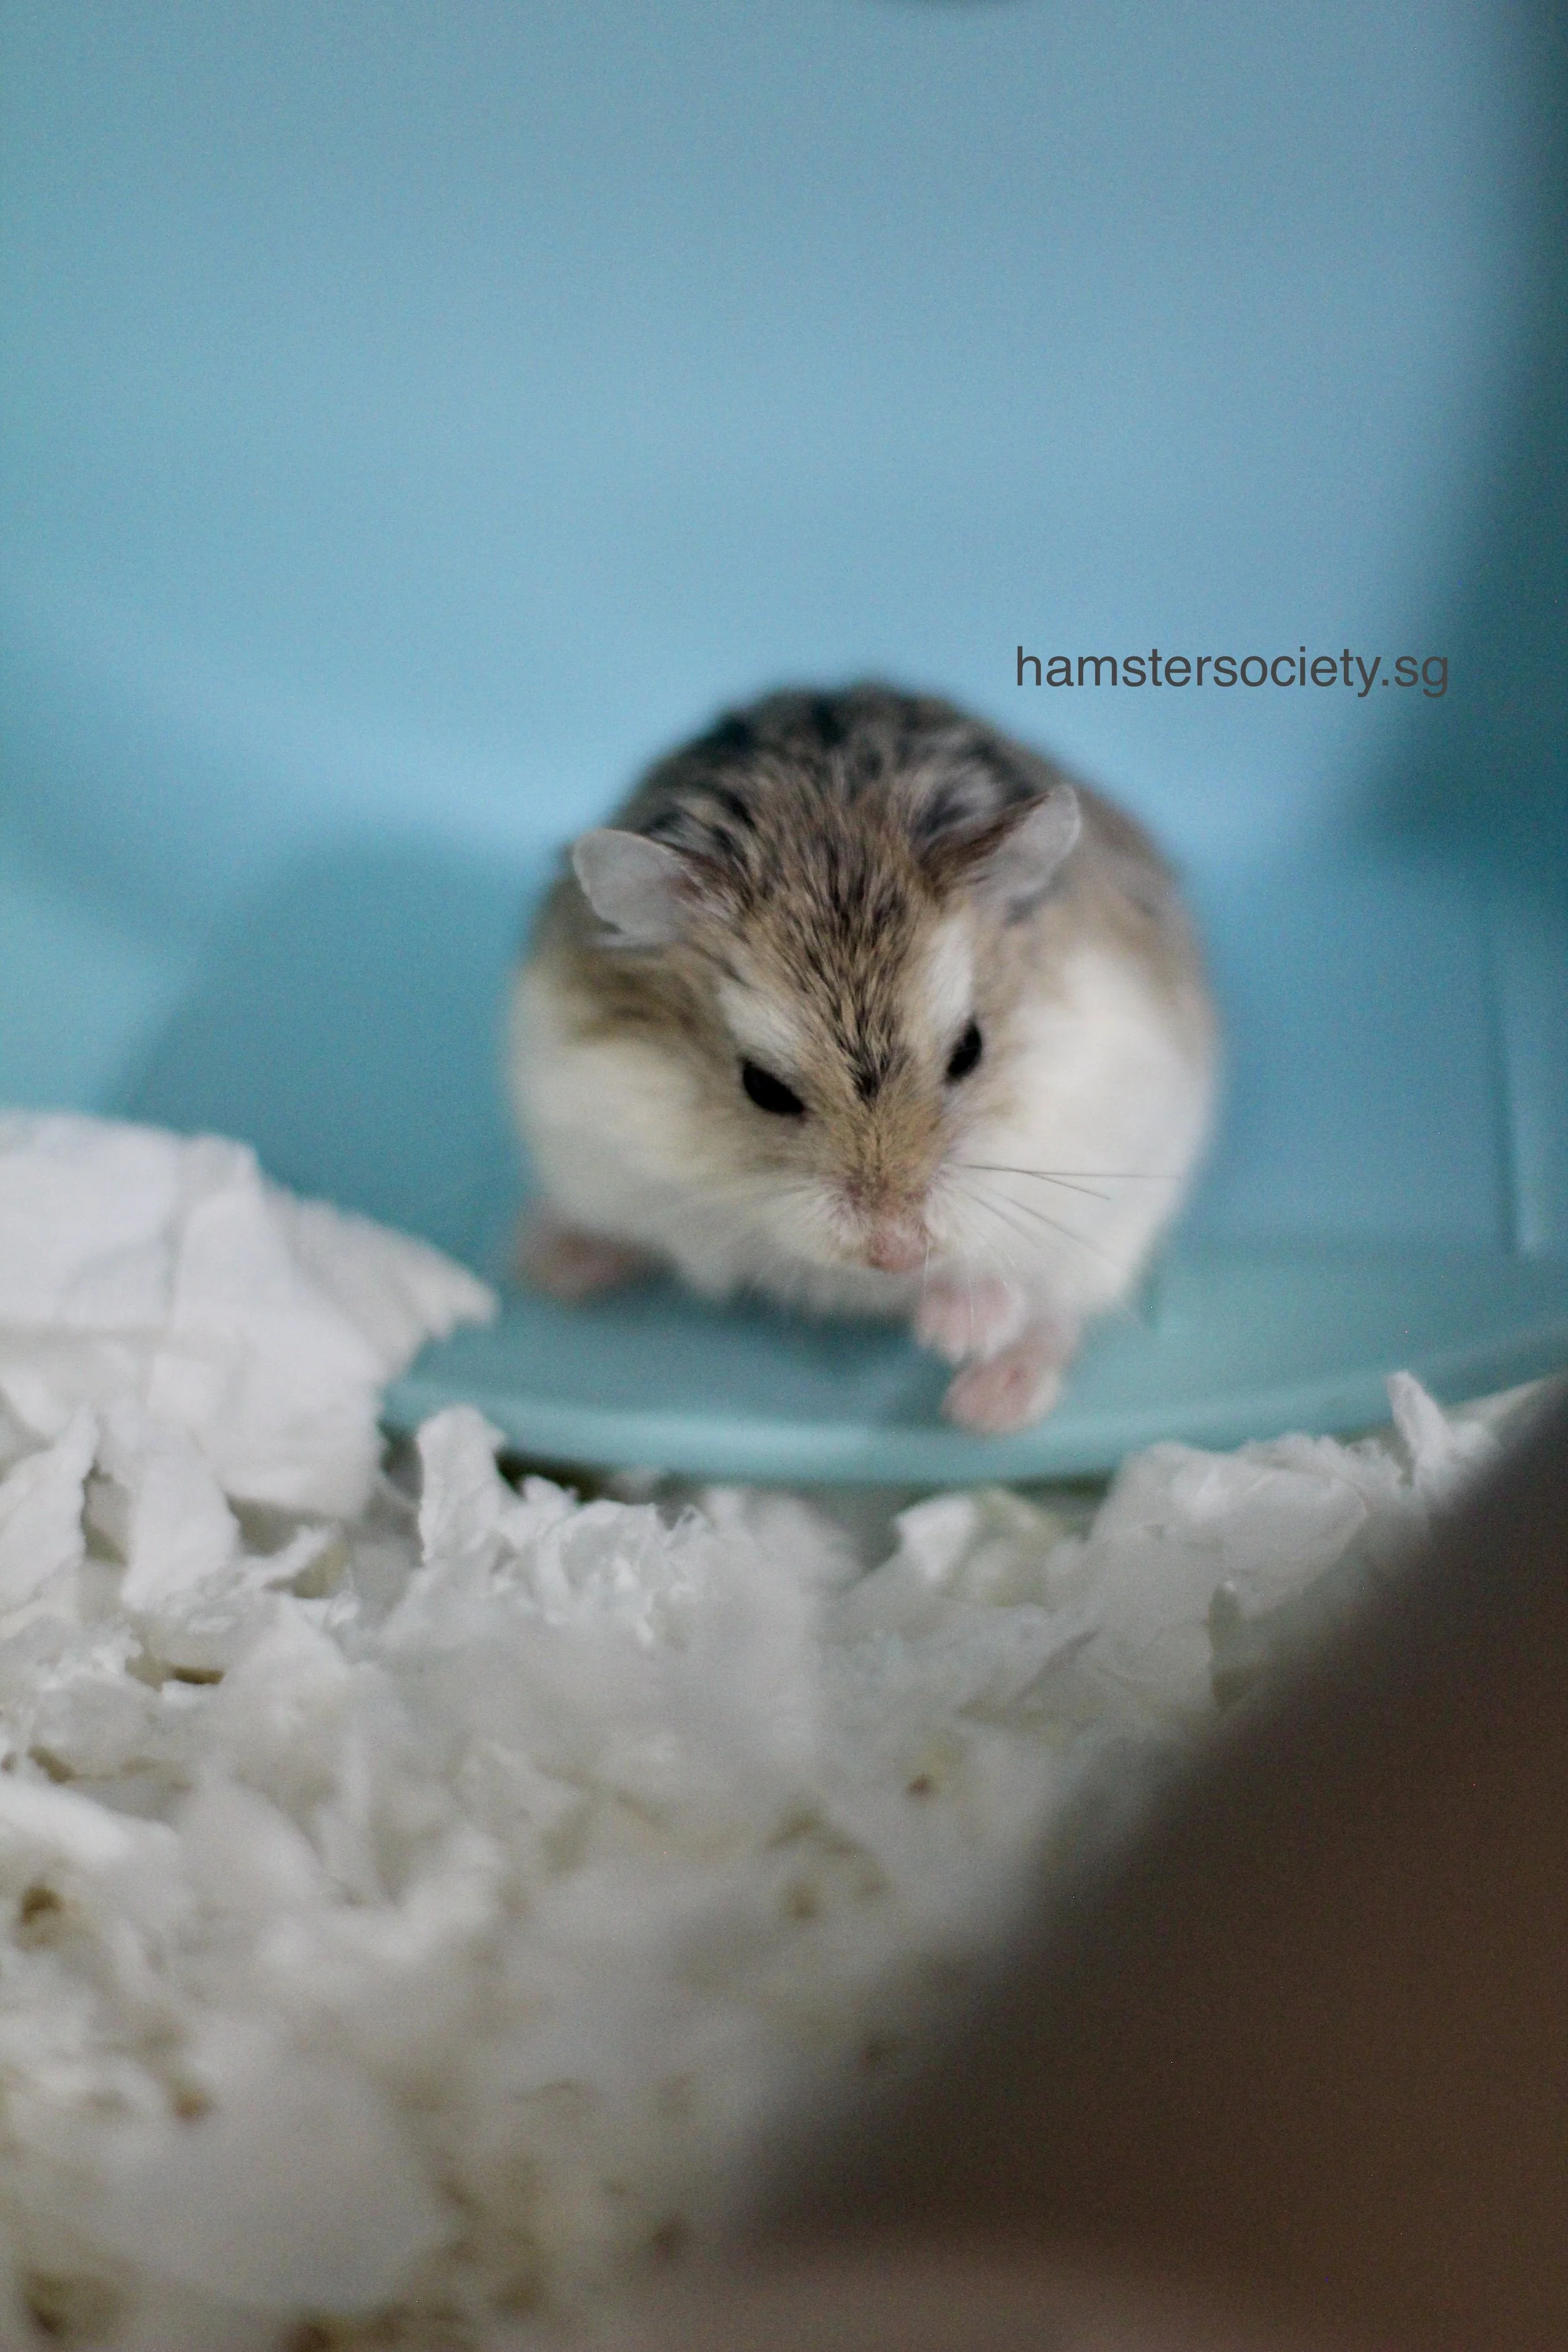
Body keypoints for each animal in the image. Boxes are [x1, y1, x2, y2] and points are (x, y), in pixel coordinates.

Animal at [507, 685, 1217, 1434]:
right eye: (761, 1086)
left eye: (971, 1050)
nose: (897, 1256)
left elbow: (1007, 1263)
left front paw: (952, 1333)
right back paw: (551, 1260)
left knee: (1058, 1317)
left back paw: (987, 1404)